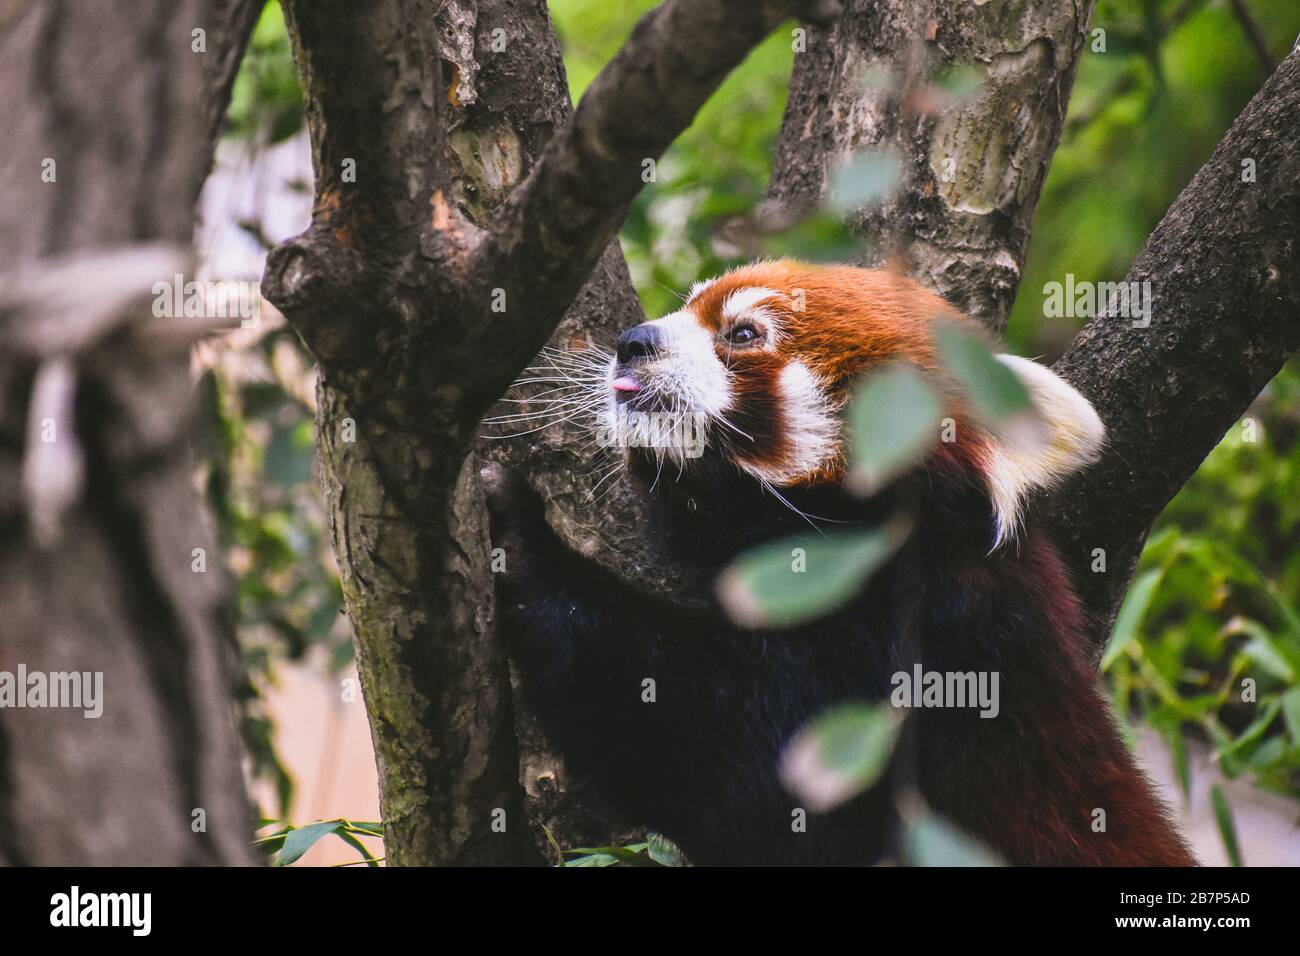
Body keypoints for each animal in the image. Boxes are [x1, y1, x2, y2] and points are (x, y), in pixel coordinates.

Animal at [483, 260, 1195, 866]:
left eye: (743, 333)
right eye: (686, 307)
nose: (632, 341)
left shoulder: (907, 654)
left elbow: (751, 778)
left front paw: (521, 533)